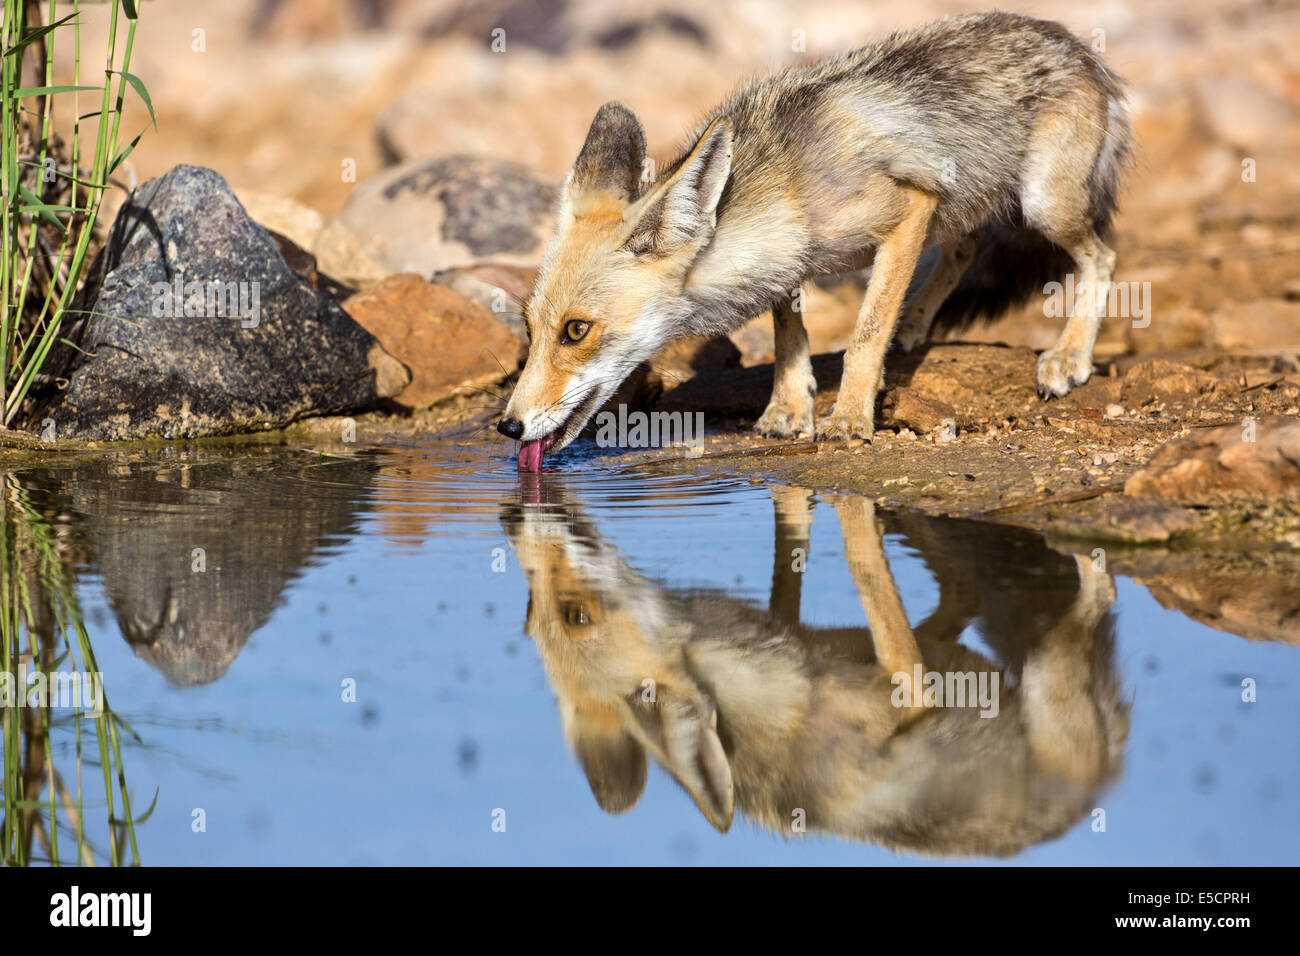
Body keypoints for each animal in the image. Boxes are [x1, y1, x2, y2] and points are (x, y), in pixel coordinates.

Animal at [496, 7, 1128, 470]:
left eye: (576, 331)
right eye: (528, 328)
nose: (507, 426)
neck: (788, 187)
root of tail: (1074, 41)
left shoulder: (906, 211)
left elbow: (863, 336)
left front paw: (849, 418)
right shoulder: (792, 258)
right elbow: (788, 332)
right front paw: (788, 408)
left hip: (1044, 205)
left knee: (1102, 257)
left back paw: (1070, 355)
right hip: (965, 205)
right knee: (965, 248)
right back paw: (916, 323)